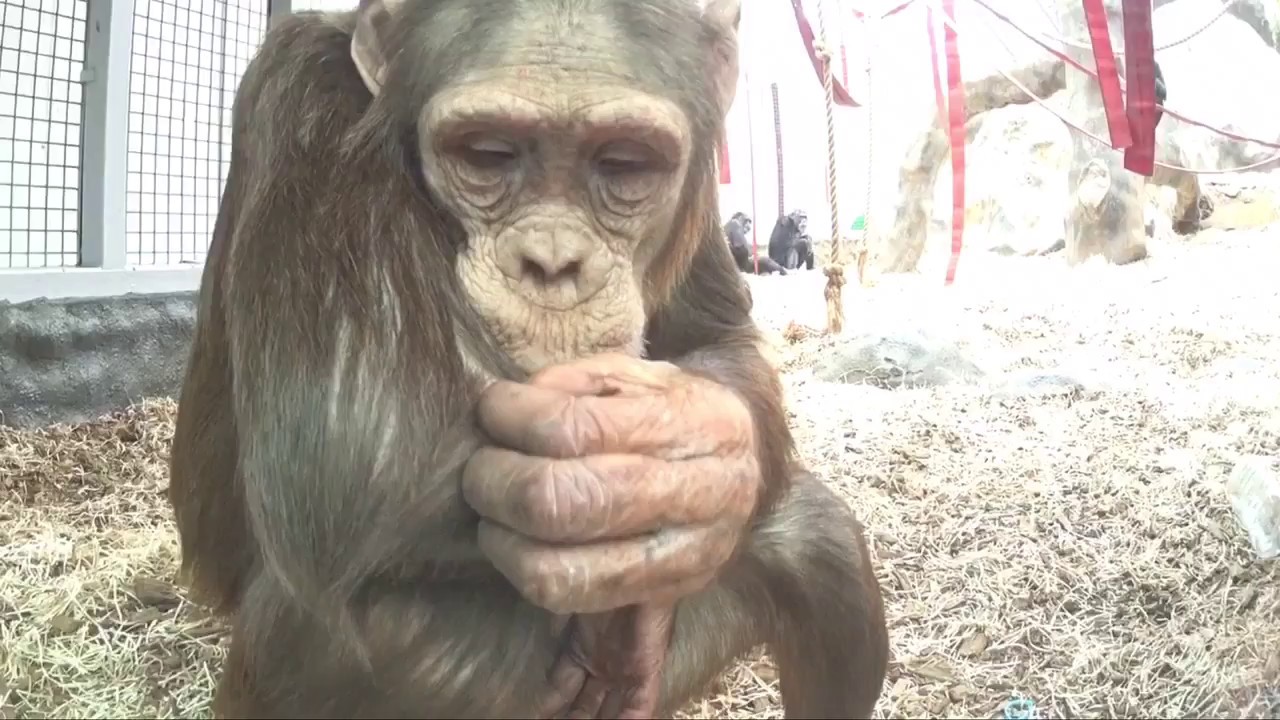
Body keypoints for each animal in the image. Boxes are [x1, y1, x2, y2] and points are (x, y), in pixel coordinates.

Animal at [166, 1, 888, 718]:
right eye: (487, 154)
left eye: (624, 163)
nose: (552, 259)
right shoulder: (302, 94)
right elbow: (361, 448)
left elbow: (720, 338)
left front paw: (687, 469)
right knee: (324, 635)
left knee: (814, 544)